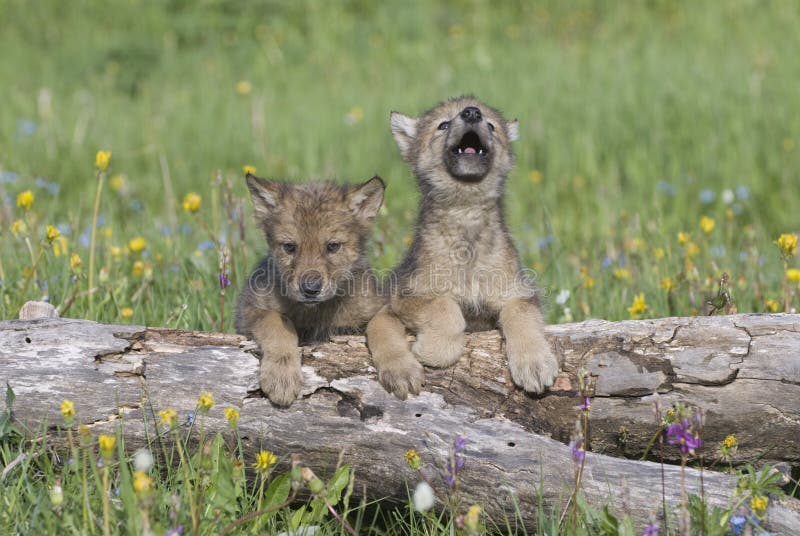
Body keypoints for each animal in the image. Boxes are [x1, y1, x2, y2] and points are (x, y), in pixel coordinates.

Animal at [236, 173, 386, 406]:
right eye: (290, 247)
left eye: (333, 246)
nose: (310, 289)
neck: (316, 313)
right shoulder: (250, 310)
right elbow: (276, 323)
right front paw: (281, 377)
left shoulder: (372, 308)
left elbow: (382, 323)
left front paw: (401, 369)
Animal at [366, 96, 560, 398]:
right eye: (443, 124)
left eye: (491, 125)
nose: (471, 113)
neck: (466, 215)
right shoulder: (409, 296)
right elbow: (445, 307)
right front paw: (436, 351)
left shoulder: (518, 293)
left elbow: (522, 317)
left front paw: (535, 363)